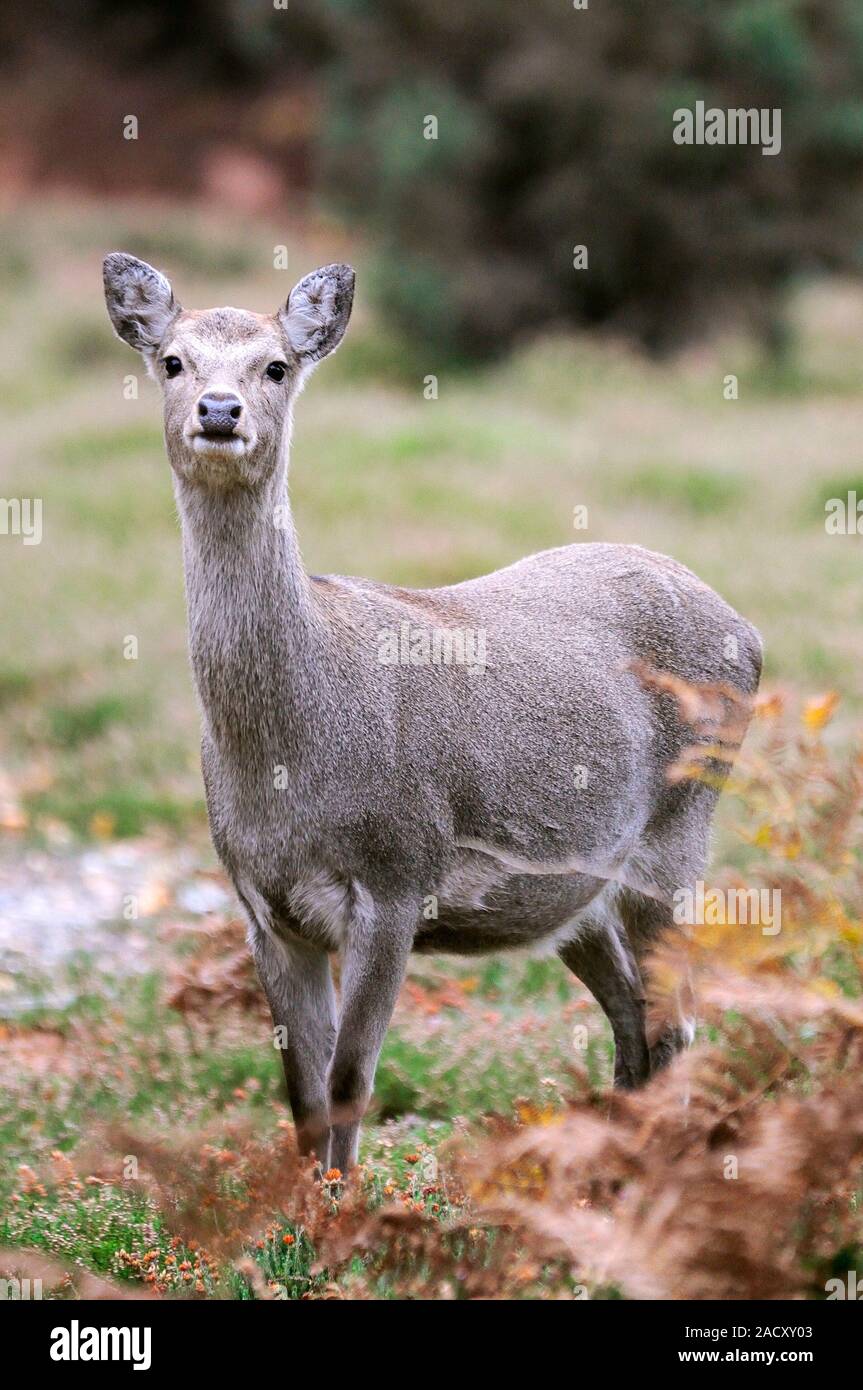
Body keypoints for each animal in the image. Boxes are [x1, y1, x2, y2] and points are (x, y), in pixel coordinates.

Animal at [103, 253, 762, 1176]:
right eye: (171, 361)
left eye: (276, 366)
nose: (220, 411)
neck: (290, 754)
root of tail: (747, 631)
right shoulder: (261, 903)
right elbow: (302, 1095)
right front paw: (301, 1211)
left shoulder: (395, 874)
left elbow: (350, 1078)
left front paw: (345, 1211)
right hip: (570, 892)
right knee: (634, 1021)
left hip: (679, 829)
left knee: (679, 1020)